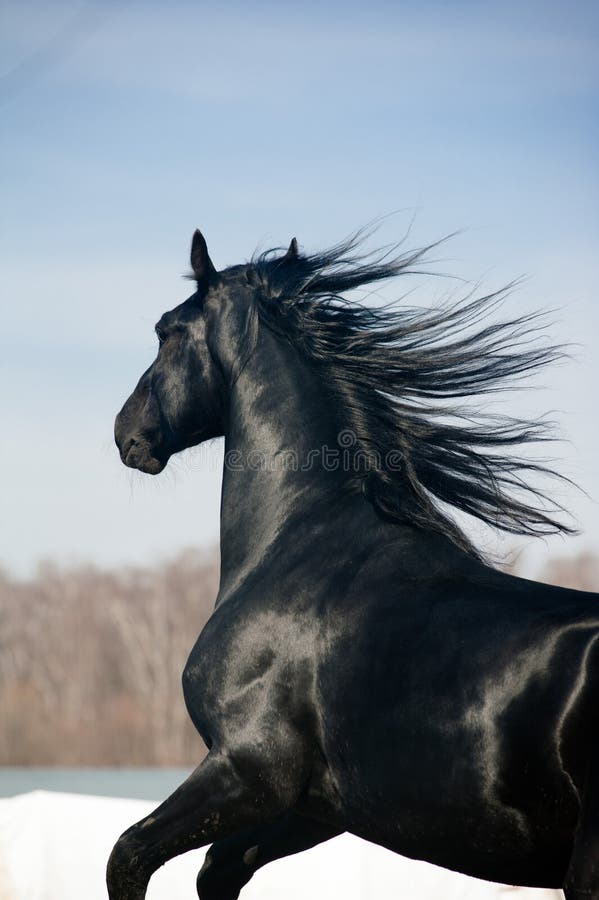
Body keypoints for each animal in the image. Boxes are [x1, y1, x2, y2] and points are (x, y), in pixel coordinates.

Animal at [109, 227, 599, 900]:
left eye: (166, 331)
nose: (127, 433)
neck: (300, 542)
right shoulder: (321, 807)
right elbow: (218, 869)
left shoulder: (248, 771)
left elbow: (128, 856)